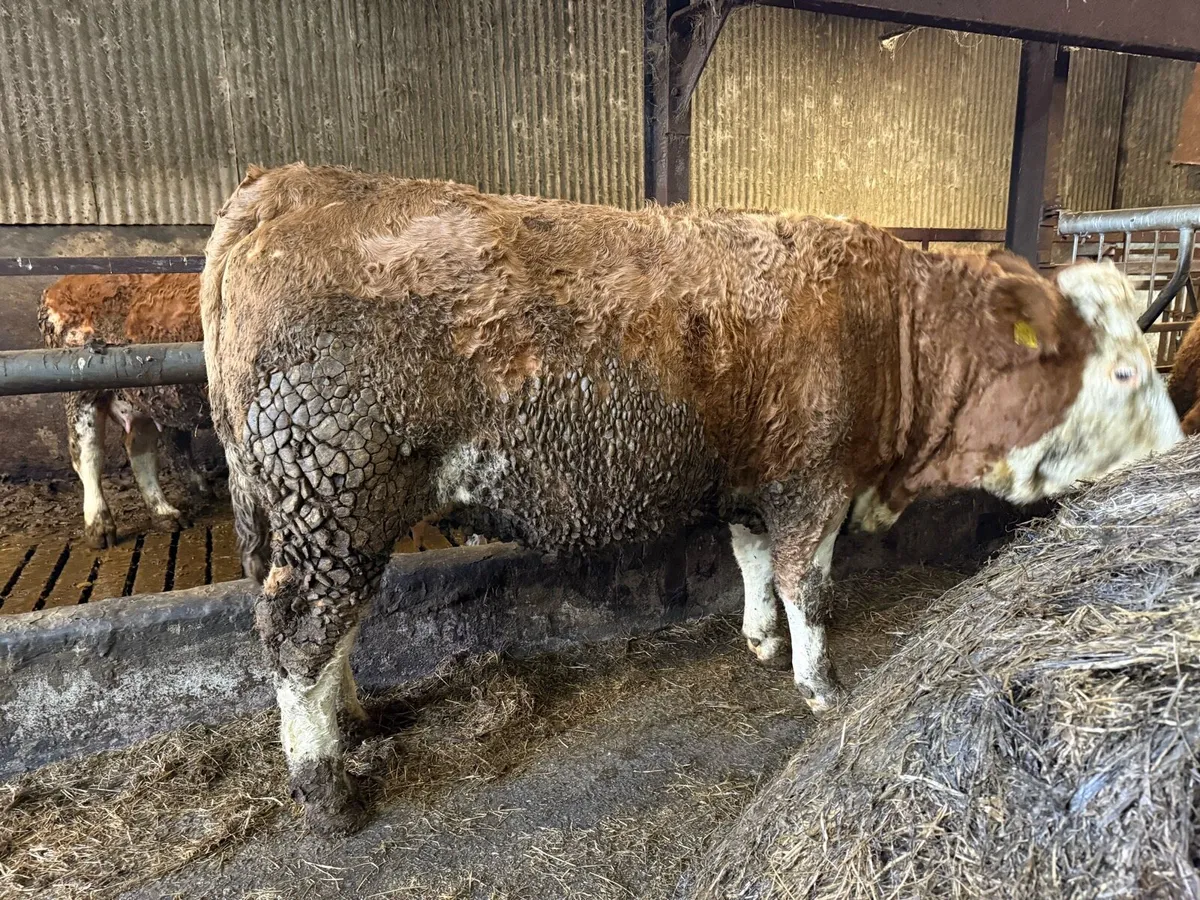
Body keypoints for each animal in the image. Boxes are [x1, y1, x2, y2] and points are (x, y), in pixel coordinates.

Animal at [38, 274, 212, 549]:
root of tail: (56, 287)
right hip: (81, 391)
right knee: (87, 453)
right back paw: (99, 528)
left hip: (144, 397)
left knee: (139, 449)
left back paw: (165, 513)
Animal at [201, 162, 1182, 834]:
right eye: (1126, 371)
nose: (1176, 457)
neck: (896, 326)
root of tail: (289, 185)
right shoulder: (814, 478)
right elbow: (810, 583)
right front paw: (823, 684)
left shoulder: (757, 477)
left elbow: (753, 560)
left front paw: (759, 639)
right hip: (336, 498)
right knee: (299, 633)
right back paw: (326, 787)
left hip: (314, 515)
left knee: (324, 630)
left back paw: (352, 720)